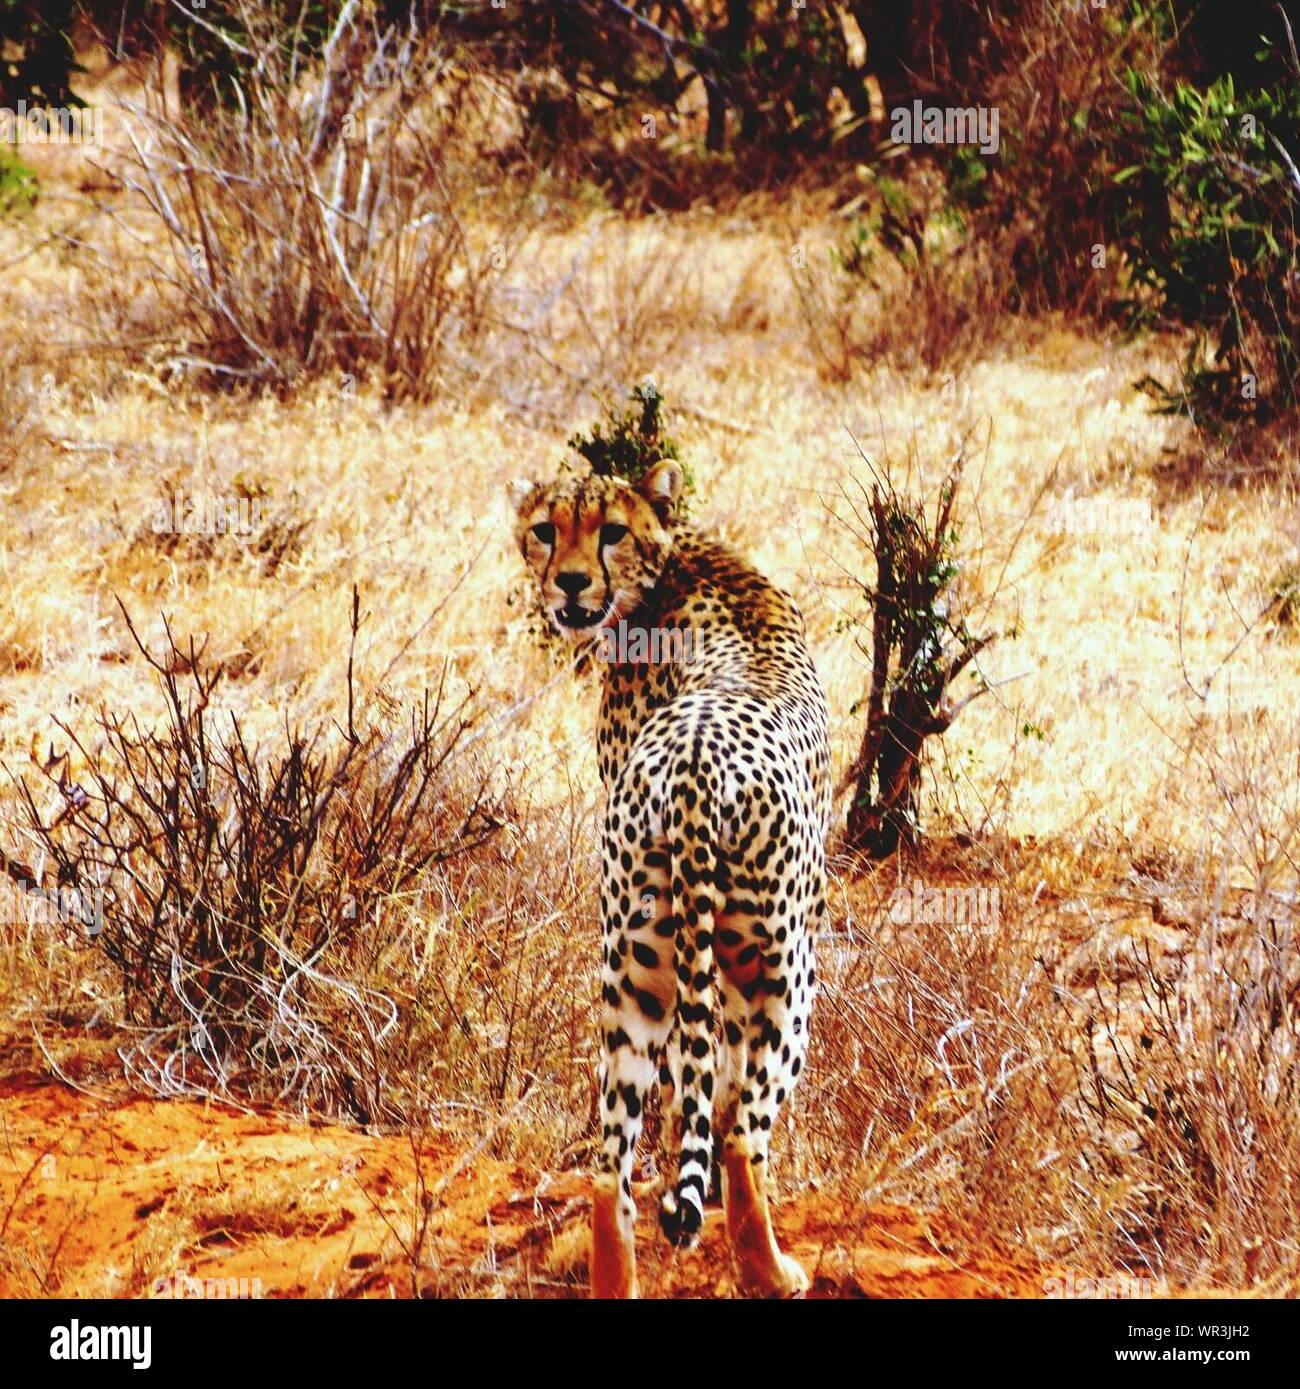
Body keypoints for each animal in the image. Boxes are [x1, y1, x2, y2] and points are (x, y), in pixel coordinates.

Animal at [509, 458, 830, 1298]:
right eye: (548, 528)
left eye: (610, 531)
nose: (571, 582)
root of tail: (694, 765)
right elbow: (720, 1090)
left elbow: (699, 1082)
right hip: (786, 973)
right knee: (745, 1133)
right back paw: (774, 1270)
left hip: (637, 968)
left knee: (608, 1164)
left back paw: (615, 1275)